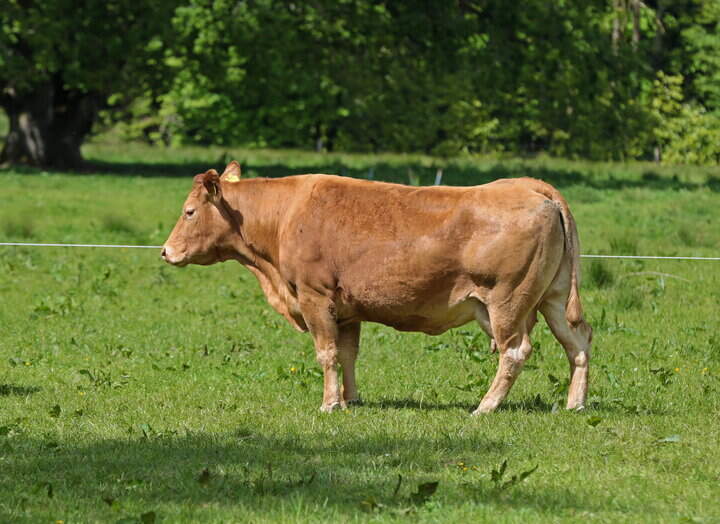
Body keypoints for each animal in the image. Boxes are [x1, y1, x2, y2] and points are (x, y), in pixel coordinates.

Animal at [161, 161, 592, 414]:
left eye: (189, 211)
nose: (166, 251)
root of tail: (530, 187)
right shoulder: (347, 310)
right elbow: (347, 355)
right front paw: (350, 399)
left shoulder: (315, 298)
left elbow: (327, 354)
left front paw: (329, 404)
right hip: (553, 298)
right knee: (579, 341)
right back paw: (575, 404)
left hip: (507, 303)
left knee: (515, 352)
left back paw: (485, 407)